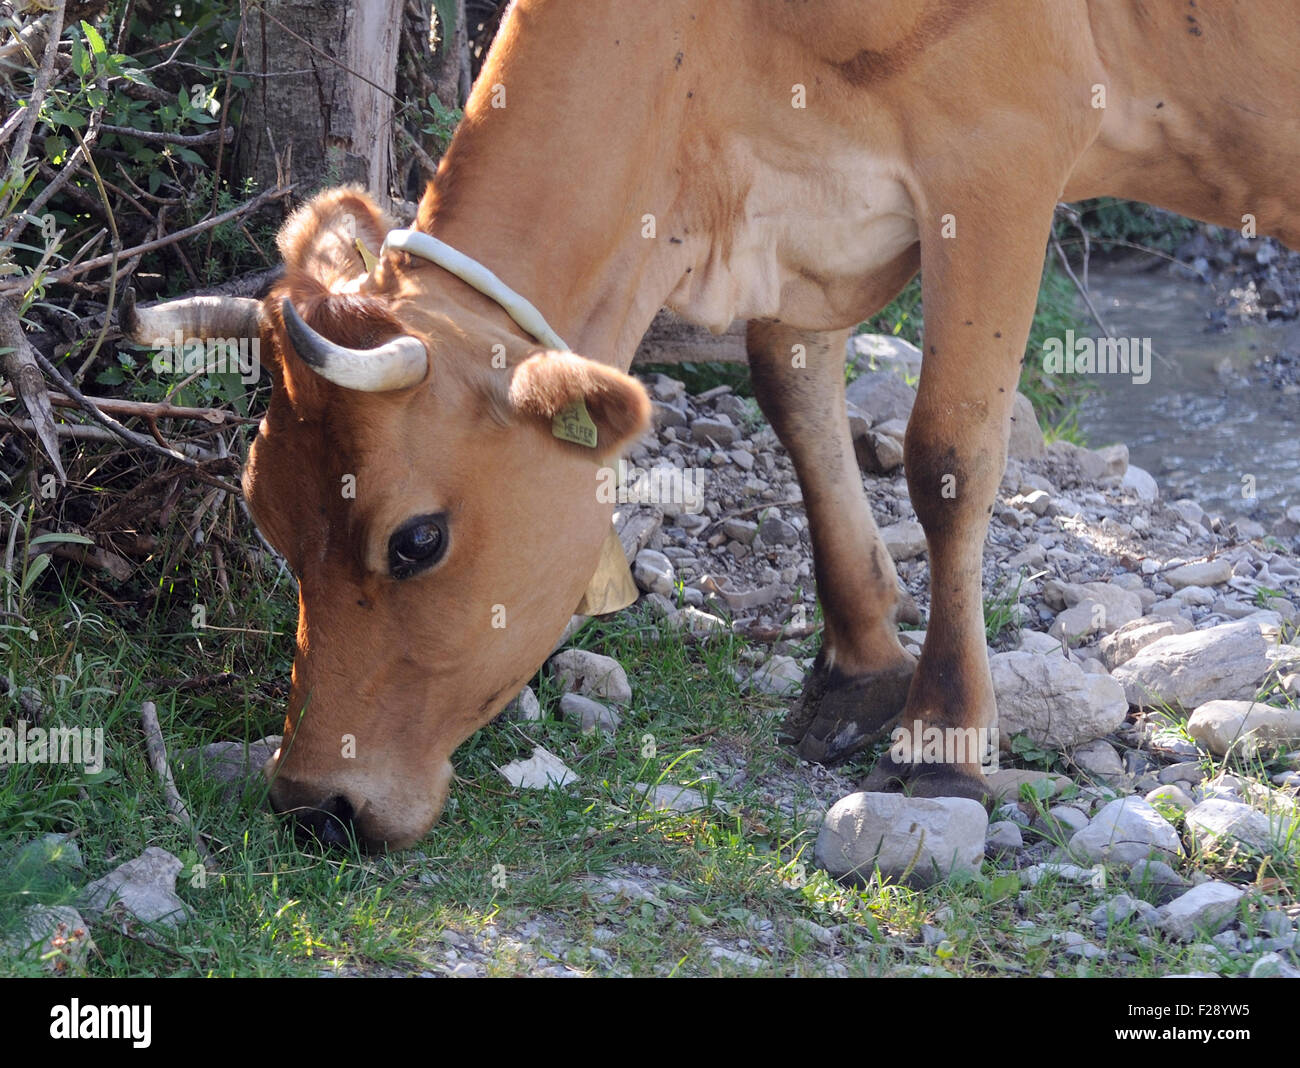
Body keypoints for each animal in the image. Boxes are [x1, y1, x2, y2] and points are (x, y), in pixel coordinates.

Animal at [126, 0, 1300, 850]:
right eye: (265, 517)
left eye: (417, 540)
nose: (313, 805)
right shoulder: (797, 201)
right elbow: (793, 396)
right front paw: (858, 667)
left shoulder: (1005, 148)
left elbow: (948, 453)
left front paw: (944, 735)